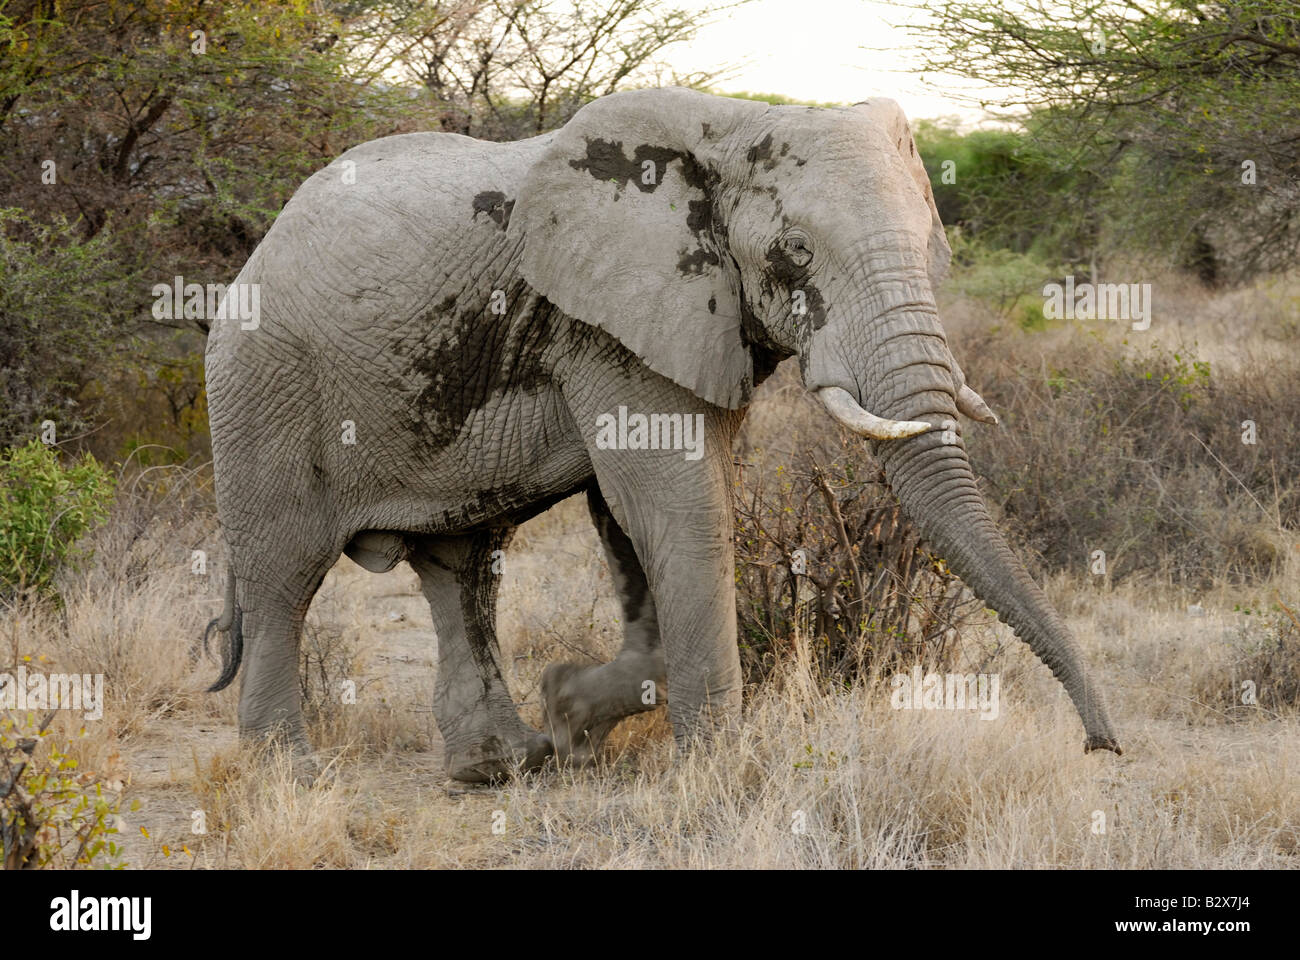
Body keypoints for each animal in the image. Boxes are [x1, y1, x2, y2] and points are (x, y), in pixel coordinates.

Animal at [203, 87, 1121, 783]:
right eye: (793, 251)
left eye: (932, 251)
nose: (1102, 747)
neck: (734, 124)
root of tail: (258, 248)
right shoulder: (604, 321)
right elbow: (677, 508)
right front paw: (709, 770)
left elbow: (637, 518)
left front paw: (571, 717)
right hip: (261, 383)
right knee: (284, 572)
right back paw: (288, 773)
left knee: (463, 566)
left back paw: (499, 766)